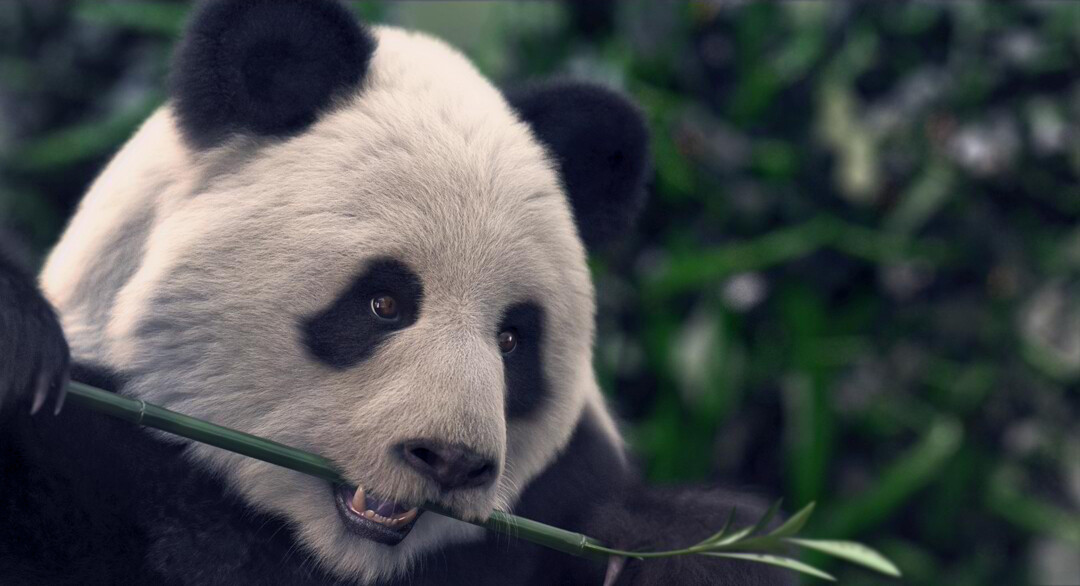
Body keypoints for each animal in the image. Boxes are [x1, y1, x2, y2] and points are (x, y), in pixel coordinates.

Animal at [0, 1, 791, 584]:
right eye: (384, 303)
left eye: (513, 339)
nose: (450, 460)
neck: (337, 559)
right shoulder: (109, 475)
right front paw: (20, 348)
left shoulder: (546, 510)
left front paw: (681, 556)